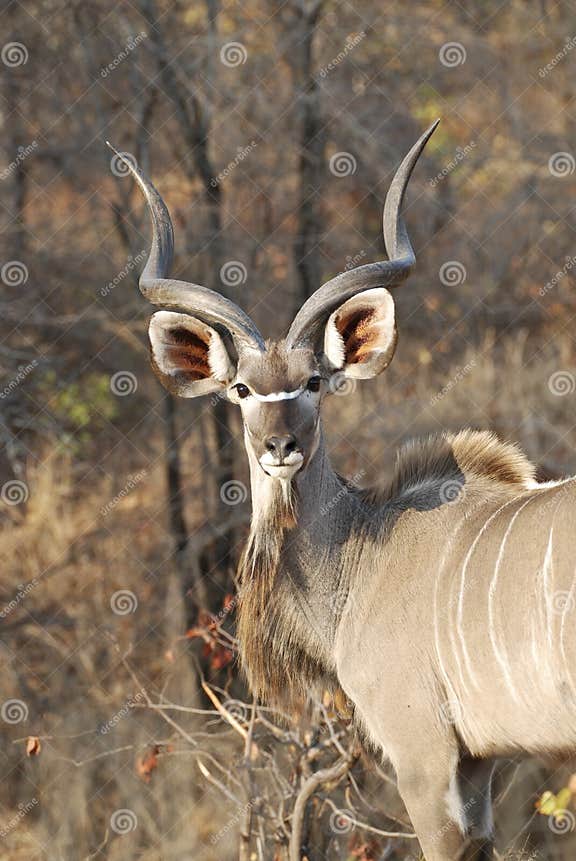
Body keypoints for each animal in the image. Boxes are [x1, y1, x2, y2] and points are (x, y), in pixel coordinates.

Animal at [109, 122, 576, 860]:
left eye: (314, 381)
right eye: (241, 389)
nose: (280, 447)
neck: (362, 557)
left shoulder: (424, 759)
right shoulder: (476, 766)